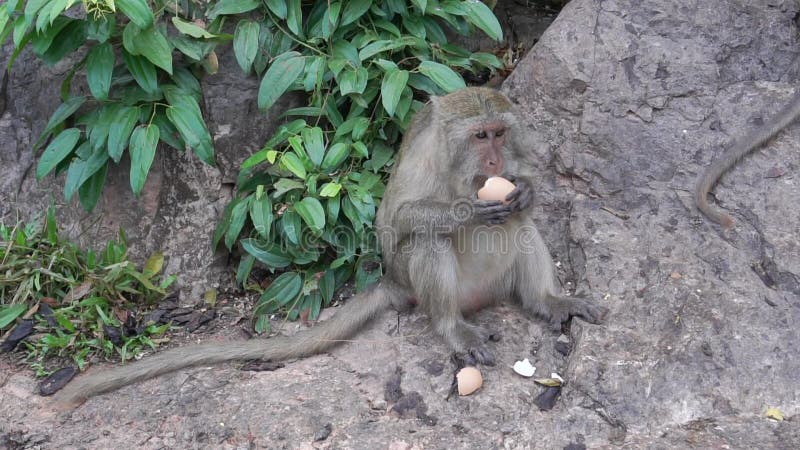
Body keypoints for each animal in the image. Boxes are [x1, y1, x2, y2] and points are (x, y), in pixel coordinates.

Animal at [54, 87, 608, 408]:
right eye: (479, 135)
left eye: (499, 133)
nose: (494, 160)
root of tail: (396, 288)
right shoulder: (425, 157)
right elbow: (395, 222)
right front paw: (466, 211)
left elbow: (526, 197)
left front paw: (526, 188)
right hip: (426, 284)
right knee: (427, 244)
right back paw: (452, 327)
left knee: (521, 225)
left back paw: (547, 300)